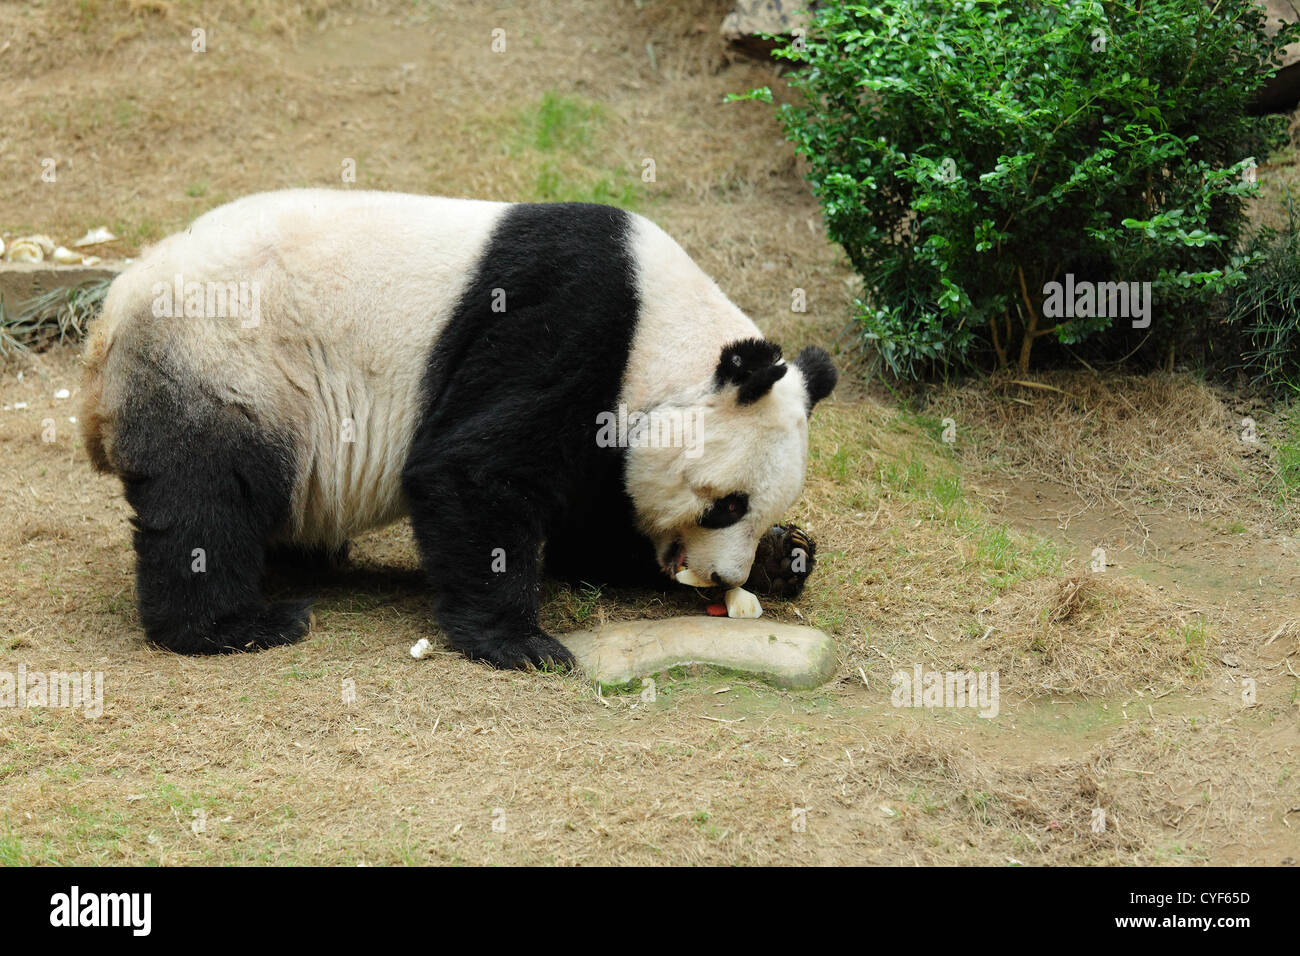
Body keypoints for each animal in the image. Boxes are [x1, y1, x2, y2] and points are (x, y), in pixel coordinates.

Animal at [80, 189, 837, 669]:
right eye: (726, 504)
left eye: (752, 509)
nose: (719, 578)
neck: (663, 329)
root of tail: (110, 317)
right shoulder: (567, 323)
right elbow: (475, 470)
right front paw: (520, 643)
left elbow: (590, 527)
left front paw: (784, 558)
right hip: (229, 365)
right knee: (209, 496)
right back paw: (236, 625)